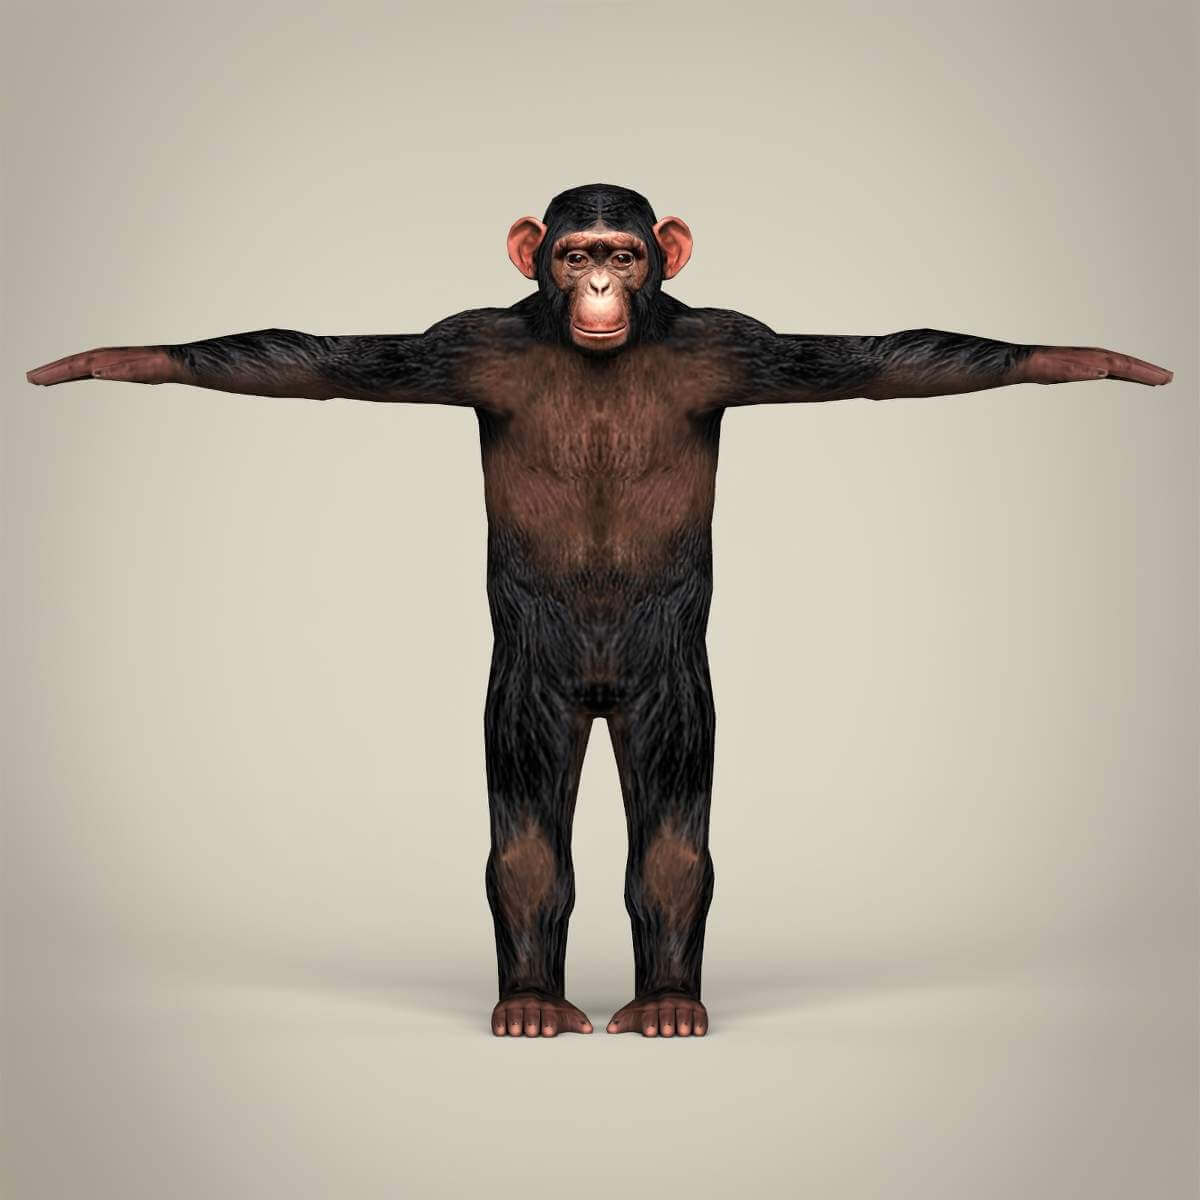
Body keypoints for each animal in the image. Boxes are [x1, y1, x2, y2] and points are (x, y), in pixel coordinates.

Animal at [26, 183, 1173, 1039]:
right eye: (574, 251)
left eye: (623, 250)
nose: (602, 283)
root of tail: (600, 692)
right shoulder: (453, 349)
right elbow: (319, 358)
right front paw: (113, 359)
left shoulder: (746, 349)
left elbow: (881, 358)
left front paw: (1086, 359)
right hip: (530, 698)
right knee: (528, 841)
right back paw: (533, 999)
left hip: (669, 697)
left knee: (671, 840)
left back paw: (666, 999)